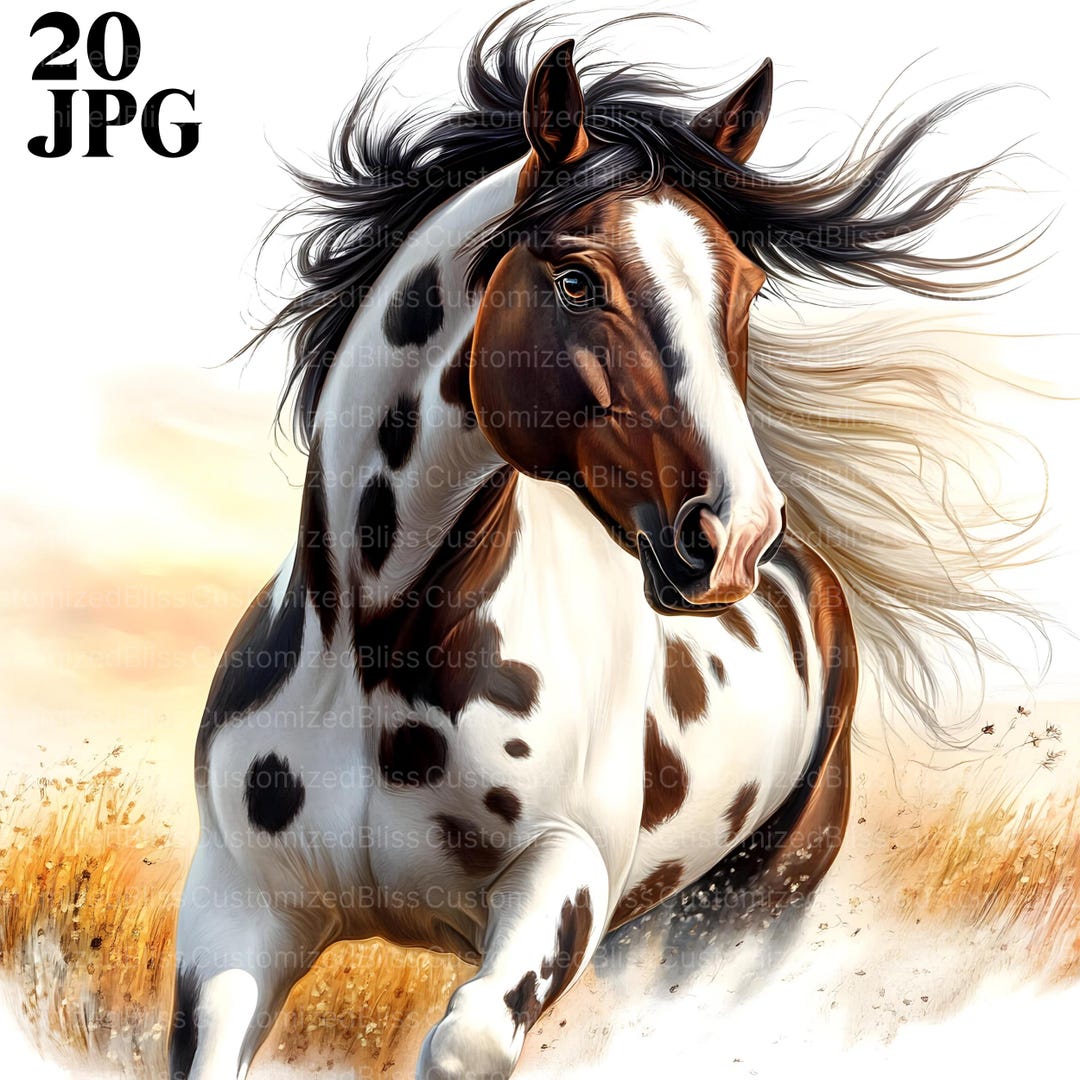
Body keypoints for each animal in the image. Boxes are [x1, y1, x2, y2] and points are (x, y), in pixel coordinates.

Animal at [169, 12, 1040, 1079]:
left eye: (745, 287)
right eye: (578, 280)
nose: (733, 535)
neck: (376, 650)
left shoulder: (564, 879)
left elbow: (466, 1040)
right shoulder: (236, 922)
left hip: (750, 909)